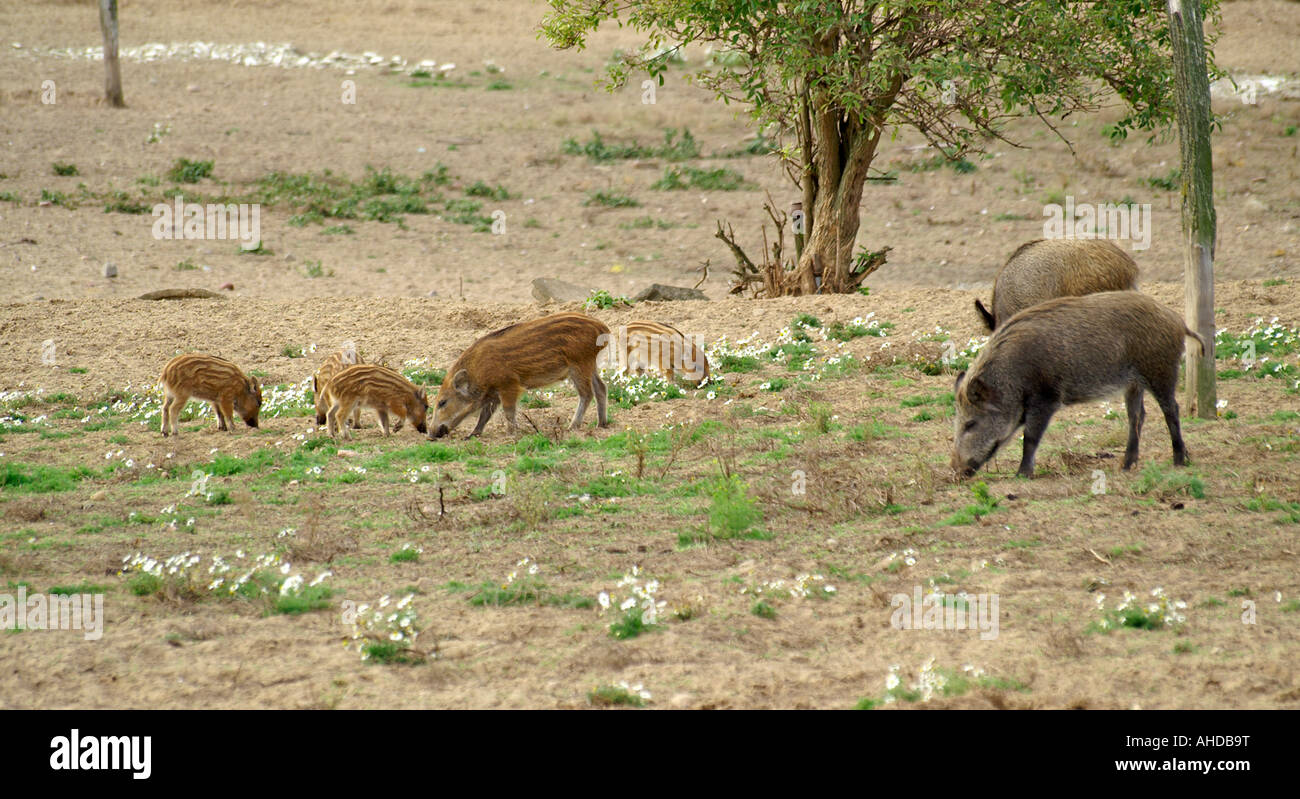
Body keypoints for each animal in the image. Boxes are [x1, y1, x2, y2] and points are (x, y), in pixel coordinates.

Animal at [429, 312, 610, 439]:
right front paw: (472, 435)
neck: (478, 371)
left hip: (579, 365)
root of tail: (603, 328)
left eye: (442, 402)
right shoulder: (493, 394)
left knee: (587, 394)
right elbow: (485, 415)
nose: (430, 435)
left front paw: (511, 433)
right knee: (601, 388)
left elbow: (508, 411)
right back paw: (601, 425)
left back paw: (572, 427)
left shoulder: (509, 385)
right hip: (590, 366)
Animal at [952, 291, 1205, 478]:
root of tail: (1178, 321)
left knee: (1171, 410)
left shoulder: (1046, 398)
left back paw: (1179, 462)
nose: (955, 472)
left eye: (971, 423)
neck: (1011, 379)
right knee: (1137, 416)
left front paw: (1022, 475)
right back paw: (1125, 466)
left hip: (1160, 371)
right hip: (1133, 384)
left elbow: (1030, 438)